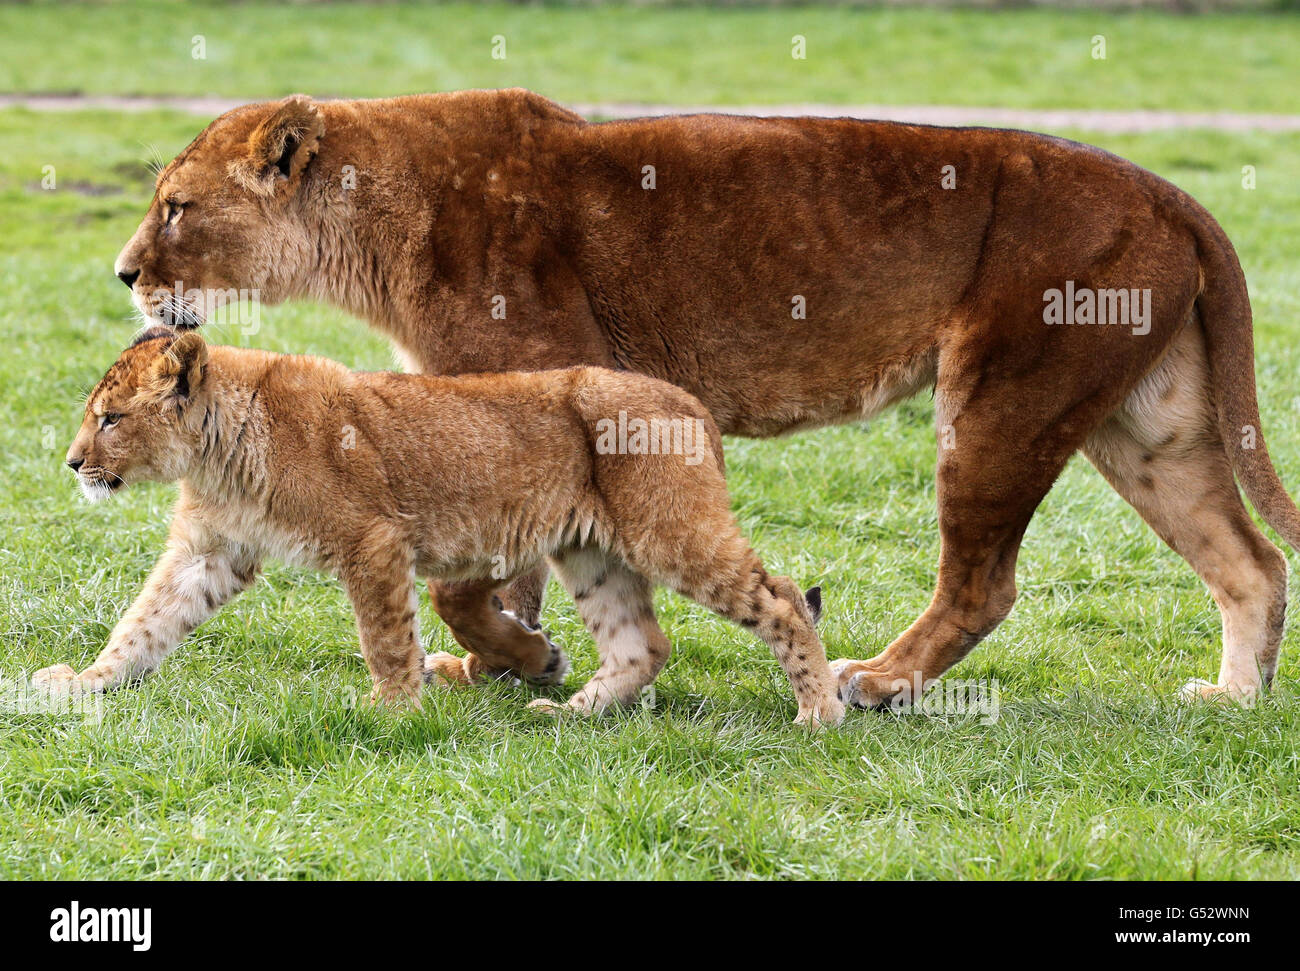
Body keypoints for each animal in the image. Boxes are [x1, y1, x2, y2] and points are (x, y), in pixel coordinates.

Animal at [33, 329, 844, 727]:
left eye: (110, 418)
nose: (72, 463)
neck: (215, 452)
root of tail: (689, 403)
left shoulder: (374, 542)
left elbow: (387, 636)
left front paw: (394, 710)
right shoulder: (211, 552)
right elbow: (144, 624)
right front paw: (85, 685)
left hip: (670, 532)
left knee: (779, 597)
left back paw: (819, 709)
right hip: (592, 553)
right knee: (641, 643)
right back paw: (568, 715)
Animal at [113, 89, 1300, 707]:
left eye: (176, 207)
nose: (124, 274)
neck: (371, 223)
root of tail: (1167, 191)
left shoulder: (538, 380)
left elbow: (471, 580)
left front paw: (522, 658)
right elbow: (509, 575)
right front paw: (509, 664)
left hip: (1001, 400)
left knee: (984, 583)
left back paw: (875, 682)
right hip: (1148, 425)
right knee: (1250, 560)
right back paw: (1234, 700)